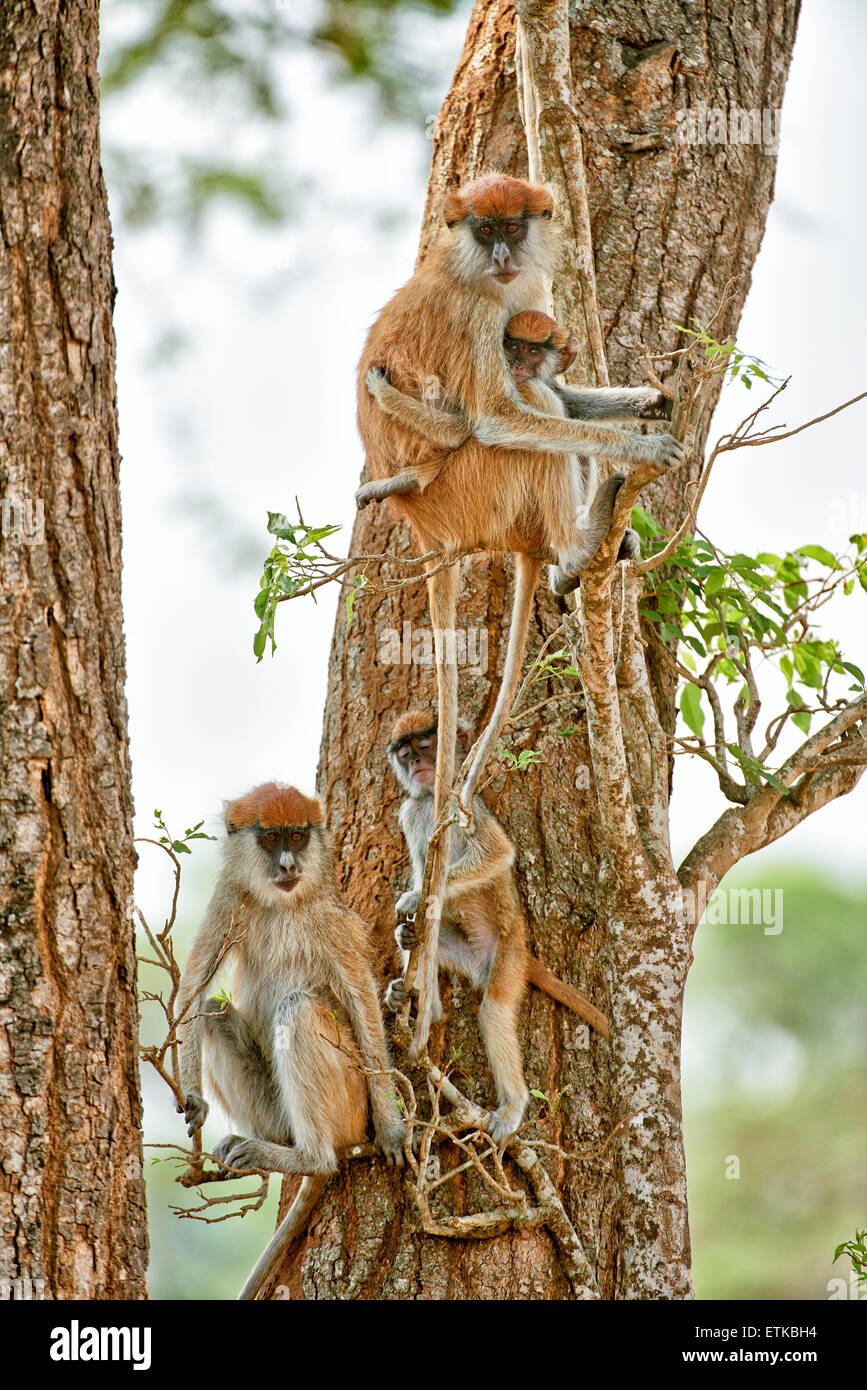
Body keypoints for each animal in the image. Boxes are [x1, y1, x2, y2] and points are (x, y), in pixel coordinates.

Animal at [177, 789, 408, 1295]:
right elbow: (193, 992)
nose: (287, 864)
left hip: (349, 1098)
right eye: (271, 838)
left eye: (298, 837)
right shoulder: (229, 898)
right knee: (215, 1011)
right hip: (273, 1106)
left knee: (298, 1008)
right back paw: (270, 1141)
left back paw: (311, 1159)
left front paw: (393, 1129)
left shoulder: (329, 919)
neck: (283, 902)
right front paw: (192, 1099)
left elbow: (360, 998)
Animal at [355, 173, 680, 1050]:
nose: (503, 254)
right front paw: (640, 448)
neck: (474, 272)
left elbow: (558, 389)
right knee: (510, 428)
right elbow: (504, 413)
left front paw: (648, 401)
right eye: (485, 228)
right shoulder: (479, 320)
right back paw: (577, 548)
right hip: (474, 489)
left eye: (513, 227)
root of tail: (423, 525)